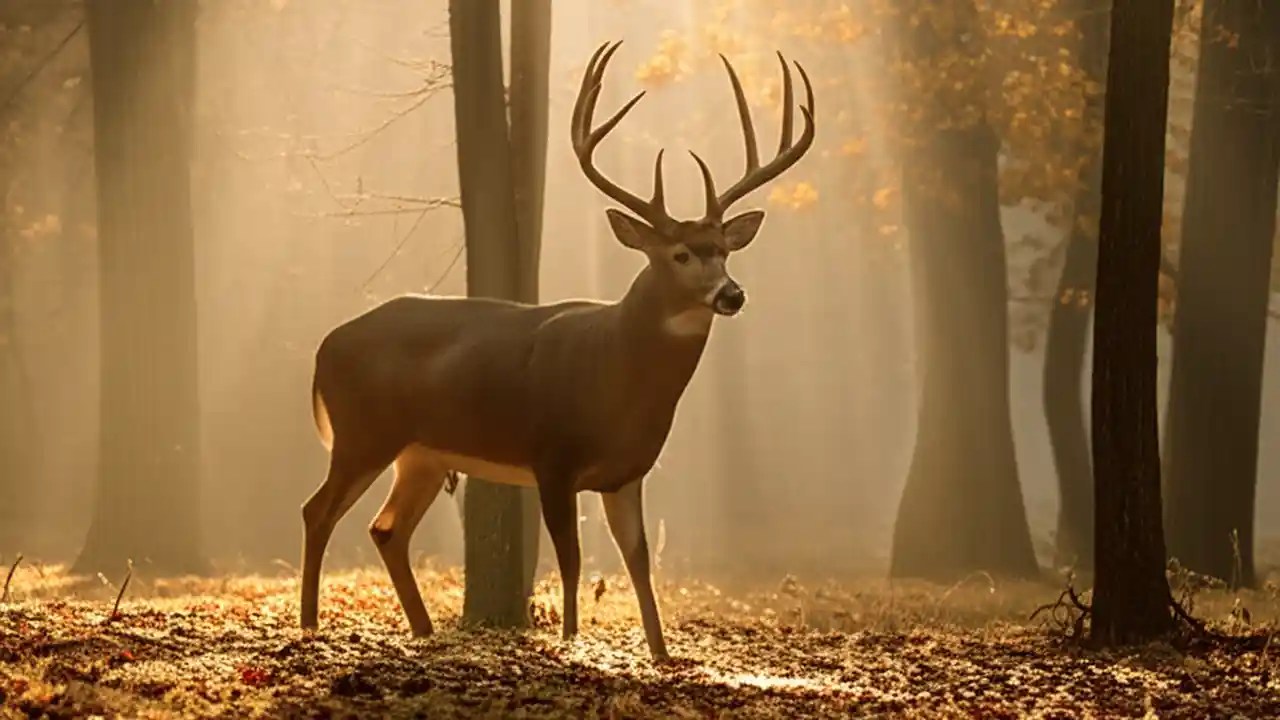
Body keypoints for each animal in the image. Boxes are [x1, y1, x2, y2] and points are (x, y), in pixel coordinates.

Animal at [299, 40, 815, 662]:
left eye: (724, 251)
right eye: (680, 254)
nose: (732, 294)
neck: (615, 373)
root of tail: (324, 346)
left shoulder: (626, 472)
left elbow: (639, 563)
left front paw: (662, 655)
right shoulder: (553, 455)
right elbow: (570, 561)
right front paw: (571, 641)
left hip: (422, 452)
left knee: (387, 528)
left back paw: (423, 631)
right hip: (363, 432)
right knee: (317, 510)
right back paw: (309, 625)